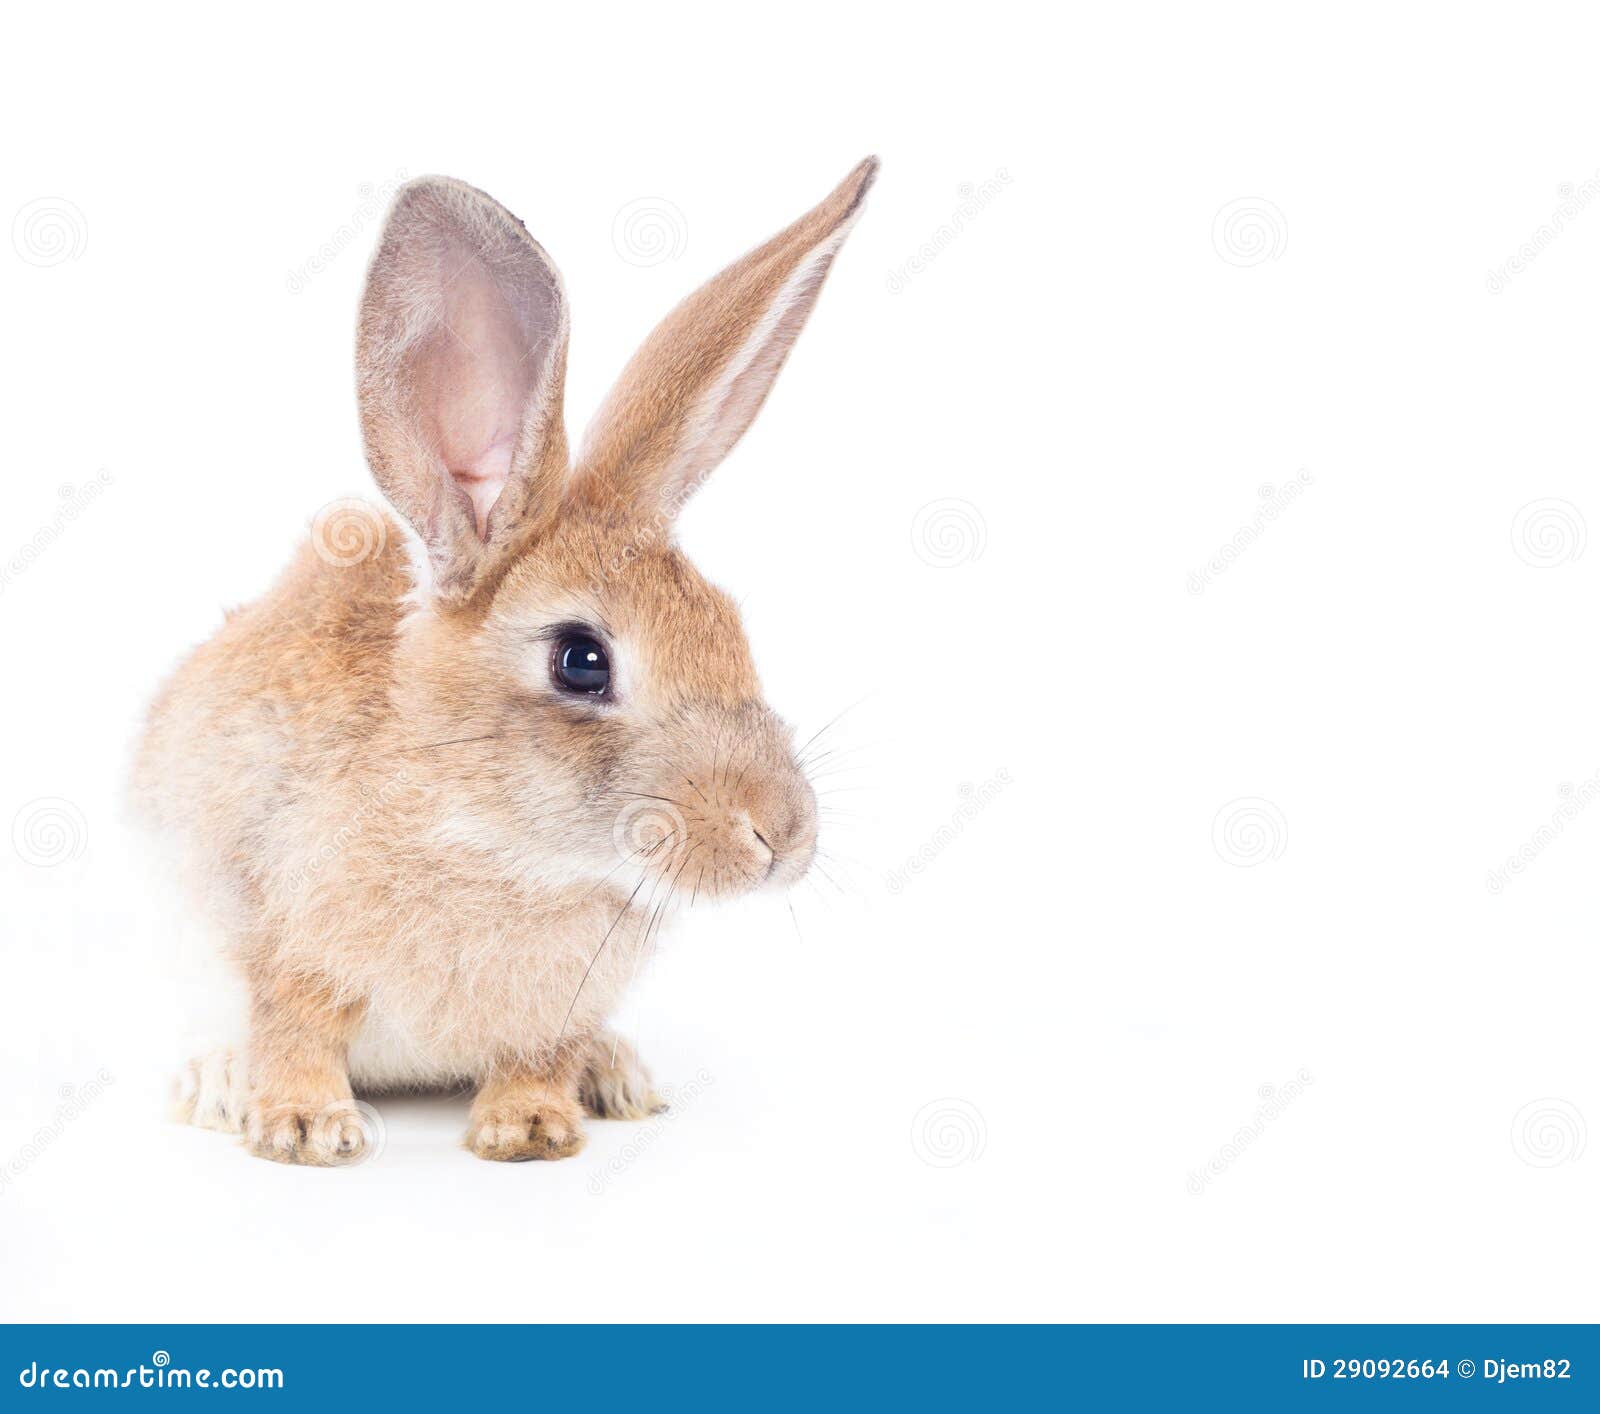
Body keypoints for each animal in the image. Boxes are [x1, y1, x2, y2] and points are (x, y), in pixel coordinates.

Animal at [133, 157, 878, 1164]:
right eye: (581, 660)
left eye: (732, 625)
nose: (783, 834)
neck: (493, 839)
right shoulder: (275, 935)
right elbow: (296, 1027)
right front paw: (302, 1129)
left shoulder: (558, 1006)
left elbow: (538, 1053)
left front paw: (530, 1128)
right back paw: (214, 1085)